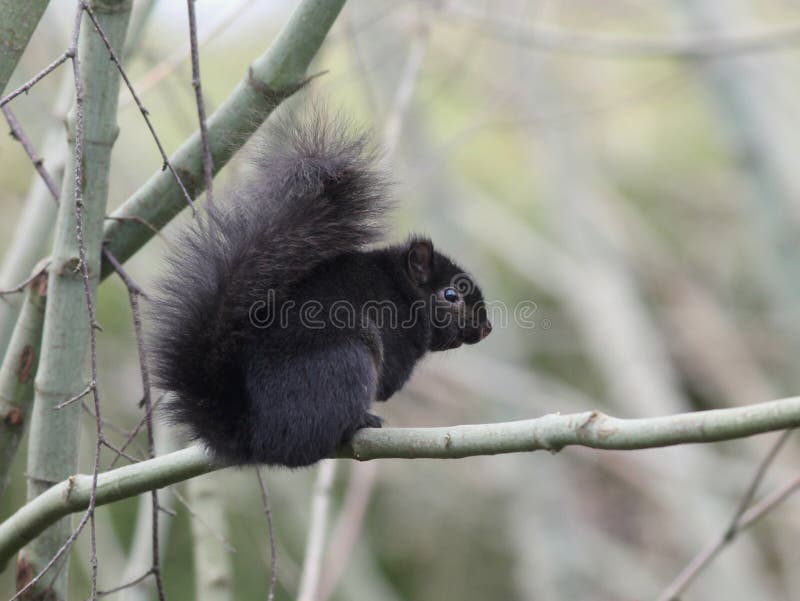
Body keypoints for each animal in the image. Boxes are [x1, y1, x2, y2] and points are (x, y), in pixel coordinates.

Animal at [148, 111, 492, 468]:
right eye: (451, 295)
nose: (486, 328)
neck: (402, 291)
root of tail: (257, 436)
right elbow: (389, 381)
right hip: (348, 362)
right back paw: (360, 422)